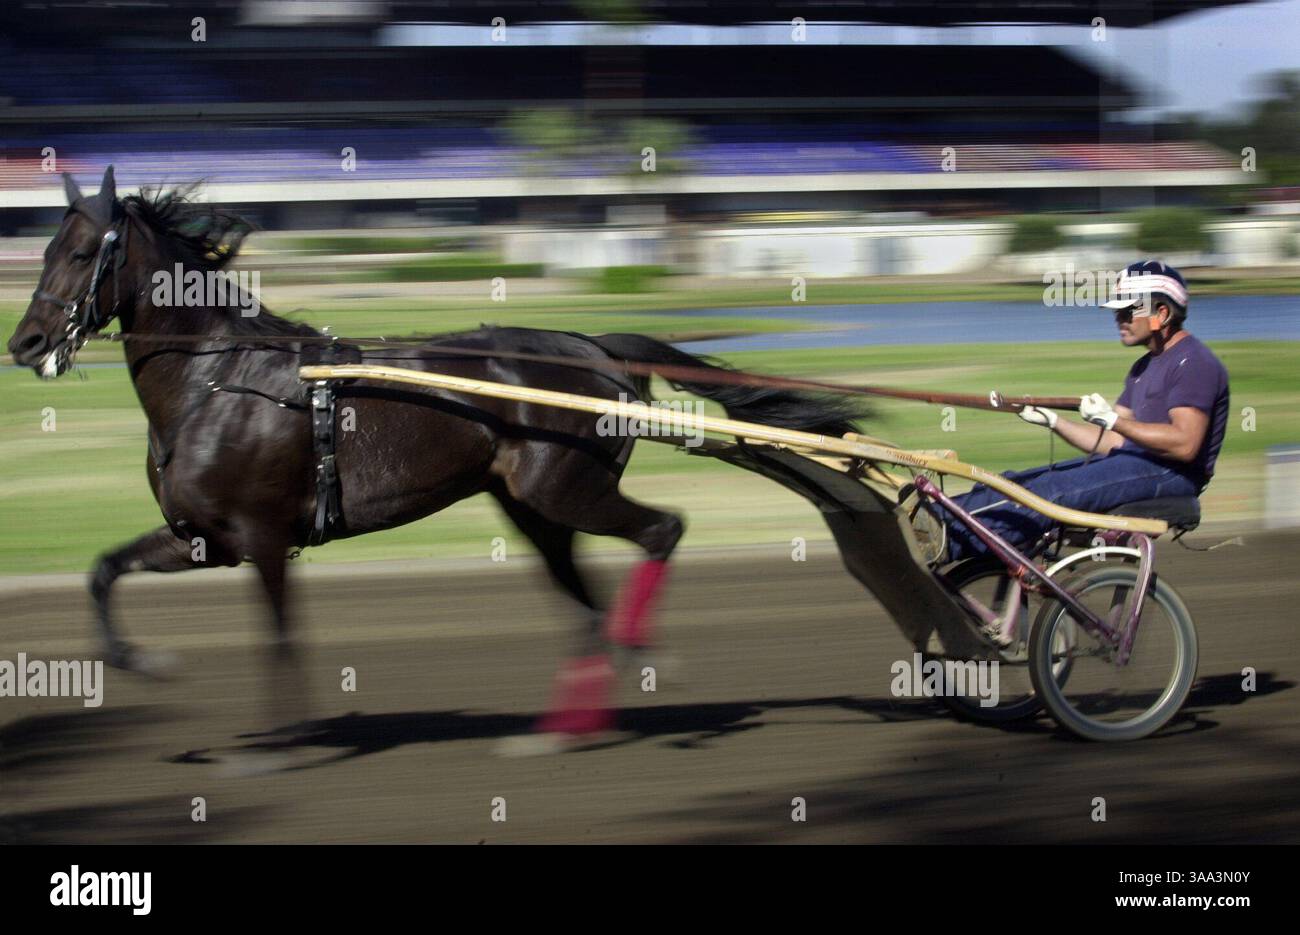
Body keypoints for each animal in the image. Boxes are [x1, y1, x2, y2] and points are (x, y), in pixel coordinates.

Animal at [7, 166, 863, 744]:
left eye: (81, 253)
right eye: (44, 246)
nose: (28, 341)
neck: (218, 382)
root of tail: (594, 346)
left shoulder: (260, 535)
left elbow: (281, 634)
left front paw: (281, 743)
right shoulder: (203, 536)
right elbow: (102, 571)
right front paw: (142, 661)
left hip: (564, 489)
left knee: (662, 531)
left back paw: (637, 656)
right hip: (532, 504)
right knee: (583, 600)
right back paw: (564, 725)